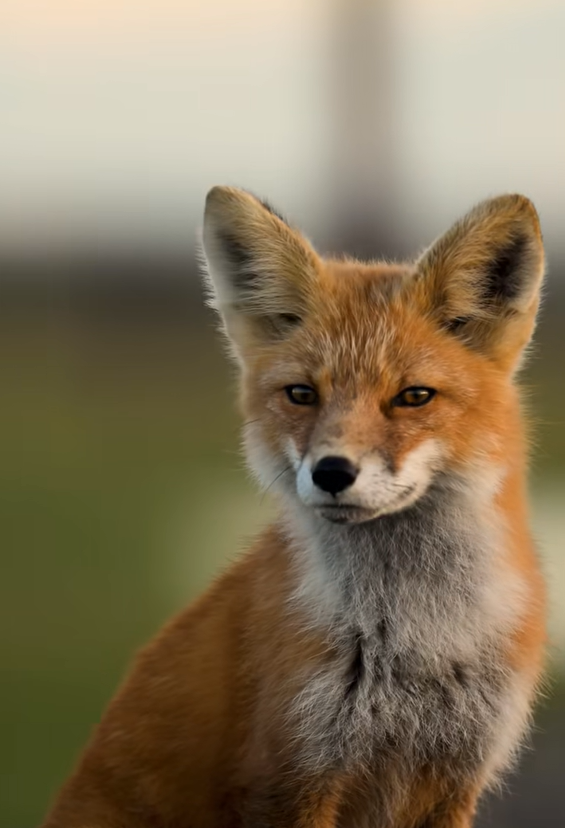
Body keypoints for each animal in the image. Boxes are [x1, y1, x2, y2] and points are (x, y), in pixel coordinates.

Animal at [41, 187, 547, 828]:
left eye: (414, 397)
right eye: (303, 394)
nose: (331, 472)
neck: (412, 641)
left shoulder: (455, 780)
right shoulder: (291, 774)